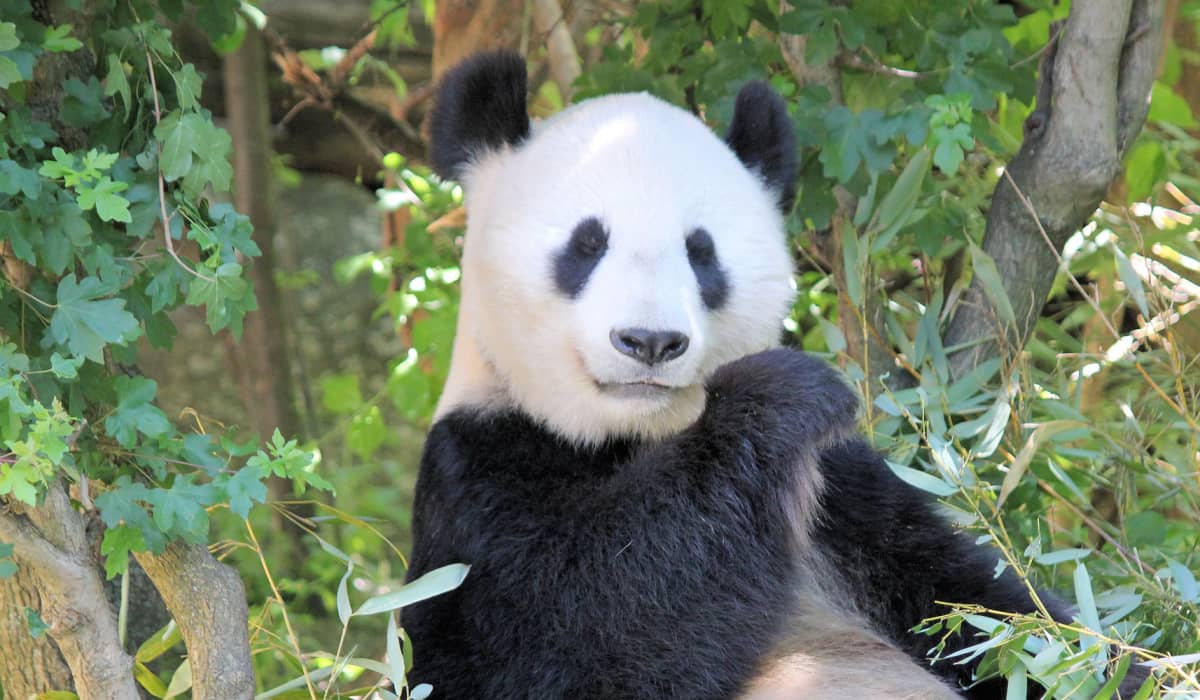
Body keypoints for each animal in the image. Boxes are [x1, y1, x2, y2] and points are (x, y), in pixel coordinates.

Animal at [401, 51, 1130, 699]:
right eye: (586, 244)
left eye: (701, 253)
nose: (650, 341)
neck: (630, 436)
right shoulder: (476, 481)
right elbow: (563, 643)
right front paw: (783, 393)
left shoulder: (849, 498)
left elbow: (989, 619)